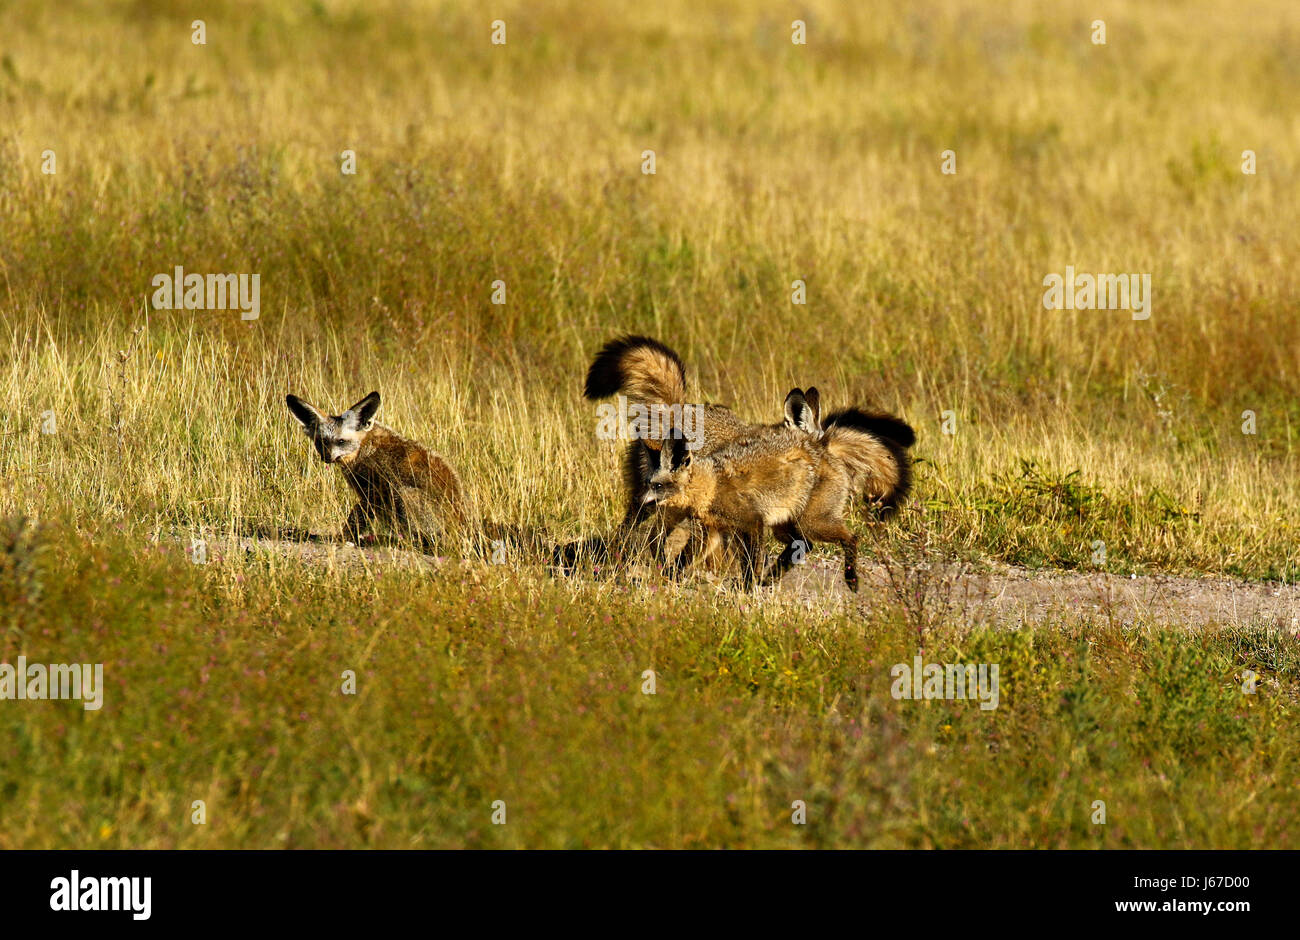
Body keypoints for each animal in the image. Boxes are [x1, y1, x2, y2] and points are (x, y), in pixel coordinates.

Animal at [285, 391, 468, 550]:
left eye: (341, 441)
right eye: (321, 442)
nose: (327, 457)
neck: (363, 448)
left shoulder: (372, 494)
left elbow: (355, 518)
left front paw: (343, 538)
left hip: (402, 495)